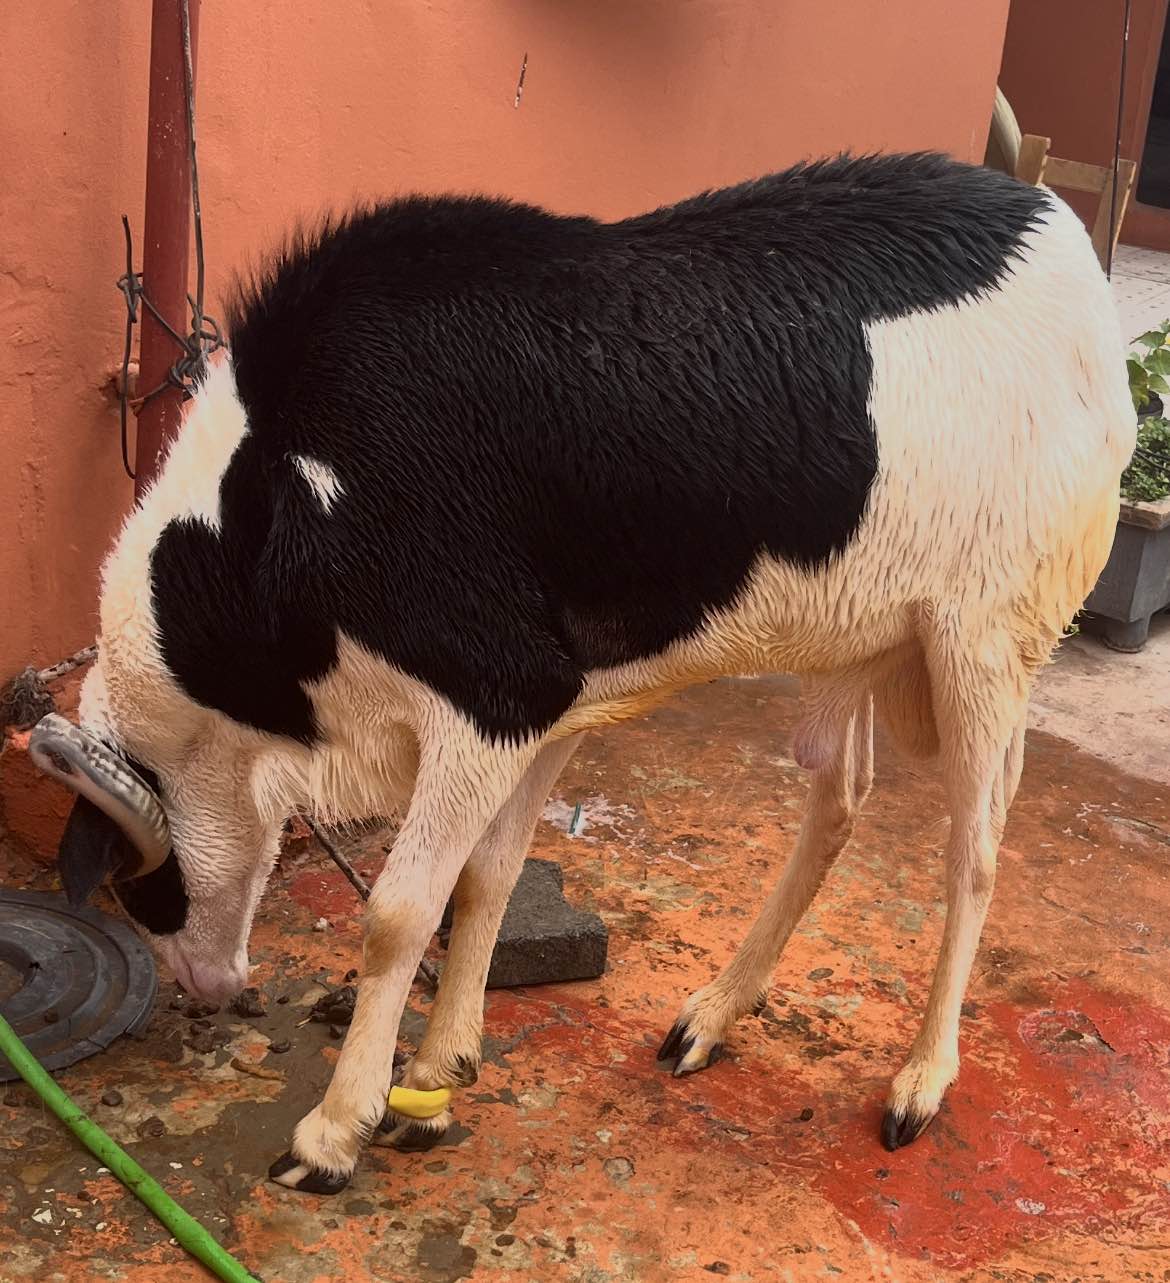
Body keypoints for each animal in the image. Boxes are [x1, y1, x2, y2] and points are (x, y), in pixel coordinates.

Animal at [29, 152, 1135, 1194]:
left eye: (134, 882)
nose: (208, 988)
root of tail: (1063, 234)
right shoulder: (542, 713)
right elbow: (489, 875)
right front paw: (436, 1078)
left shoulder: (494, 694)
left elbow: (398, 913)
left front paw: (335, 1132)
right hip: (854, 634)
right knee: (840, 796)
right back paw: (716, 1011)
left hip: (985, 638)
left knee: (974, 849)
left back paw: (921, 1079)